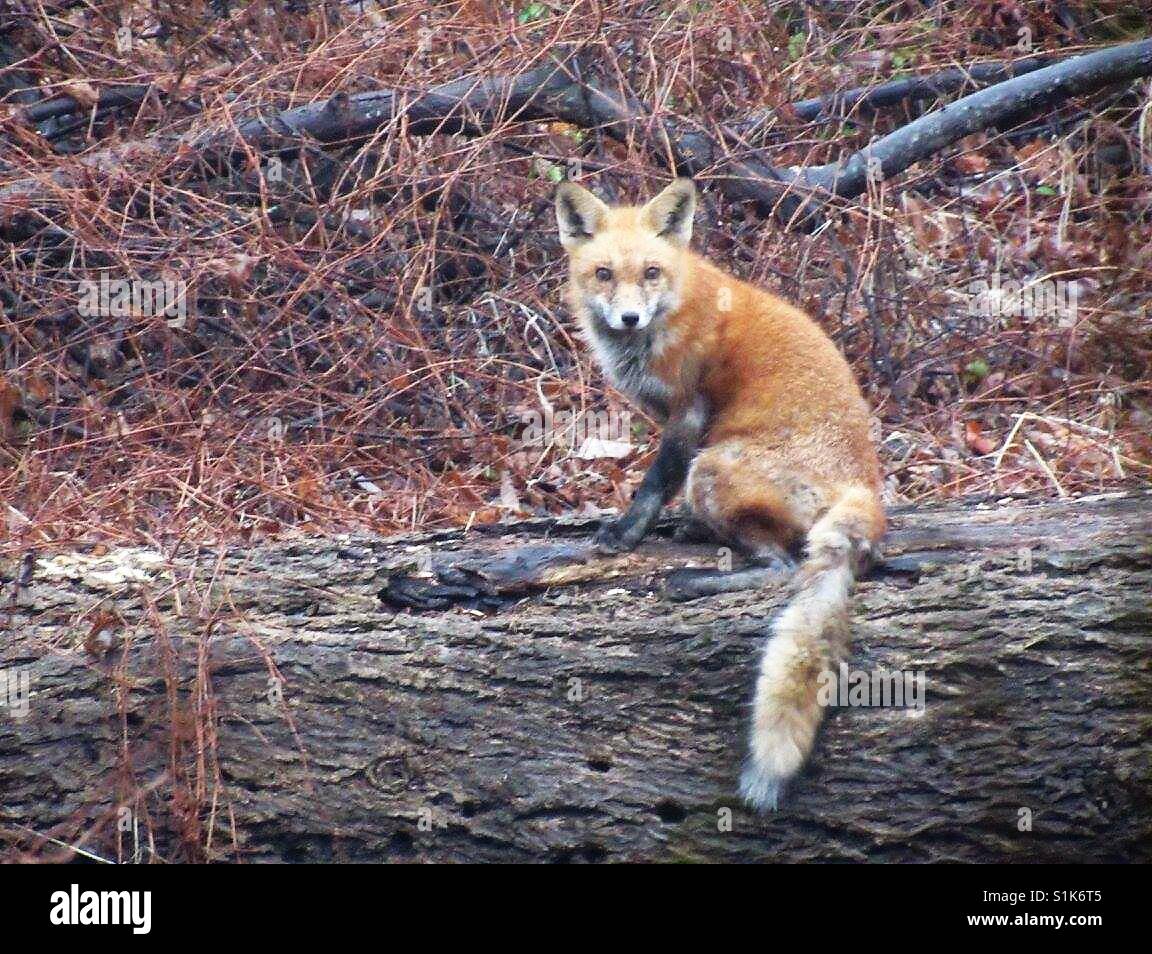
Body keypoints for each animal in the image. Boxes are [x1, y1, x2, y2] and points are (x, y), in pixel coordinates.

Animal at [554, 177, 886, 810]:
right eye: (604, 273)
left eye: (651, 272)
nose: (629, 317)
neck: (669, 314)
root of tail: (867, 490)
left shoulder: (689, 415)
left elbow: (653, 483)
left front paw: (625, 535)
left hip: (712, 468)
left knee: (783, 569)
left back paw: (691, 581)